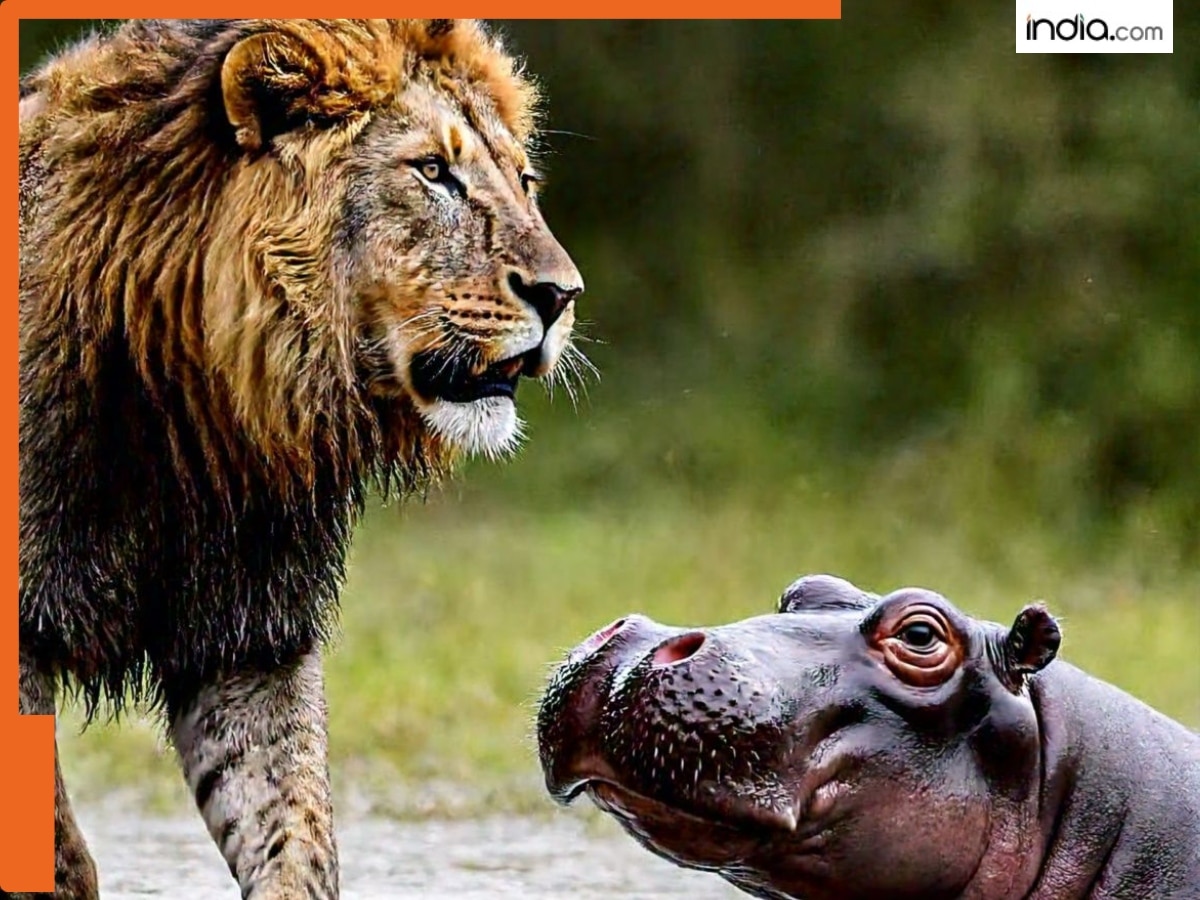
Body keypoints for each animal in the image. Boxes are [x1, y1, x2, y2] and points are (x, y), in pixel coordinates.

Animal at [16, 19, 586, 899]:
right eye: (434, 171)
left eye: (524, 181)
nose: (563, 295)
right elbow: (56, 846)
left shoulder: (249, 640)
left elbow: (295, 830)